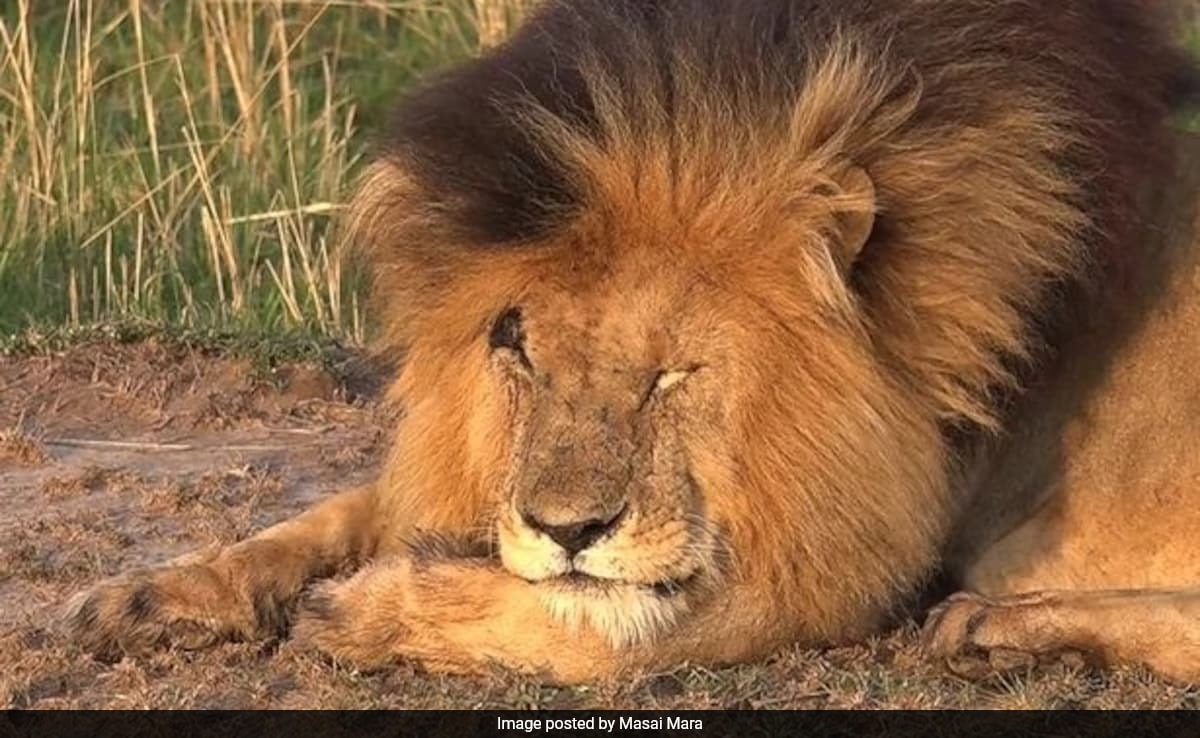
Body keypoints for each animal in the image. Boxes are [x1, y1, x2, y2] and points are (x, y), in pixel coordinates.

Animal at [66, 0, 1200, 684]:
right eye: (515, 349)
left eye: (673, 374)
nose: (567, 528)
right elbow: (349, 507)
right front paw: (159, 592)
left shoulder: (836, 567)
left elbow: (597, 635)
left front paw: (366, 612)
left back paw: (995, 626)